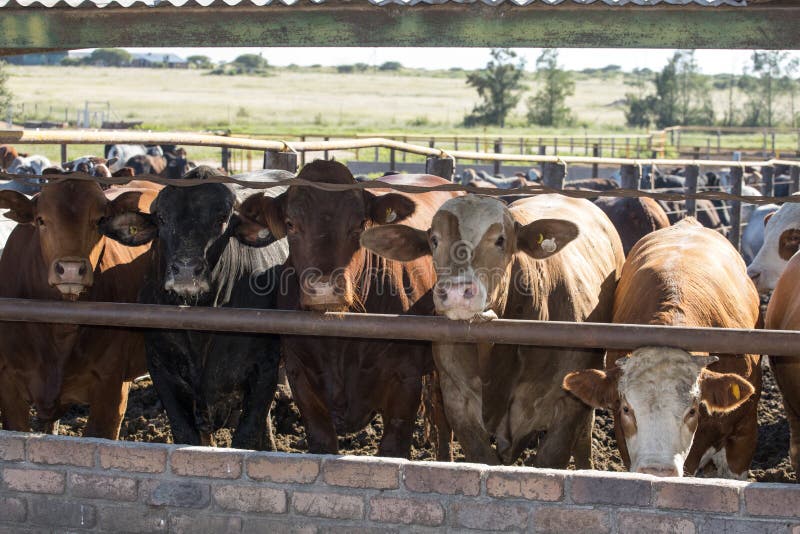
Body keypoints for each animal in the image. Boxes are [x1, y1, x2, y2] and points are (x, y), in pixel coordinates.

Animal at [99, 165, 290, 449]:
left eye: (222, 218)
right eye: (161, 218)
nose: (186, 271)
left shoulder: (265, 369)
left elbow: (246, 434)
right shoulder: (161, 369)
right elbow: (186, 434)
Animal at [237, 159, 459, 458]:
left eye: (360, 224)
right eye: (291, 224)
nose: (324, 288)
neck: (340, 343)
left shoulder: (405, 380)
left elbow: (393, 447)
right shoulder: (300, 376)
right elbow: (322, 443)